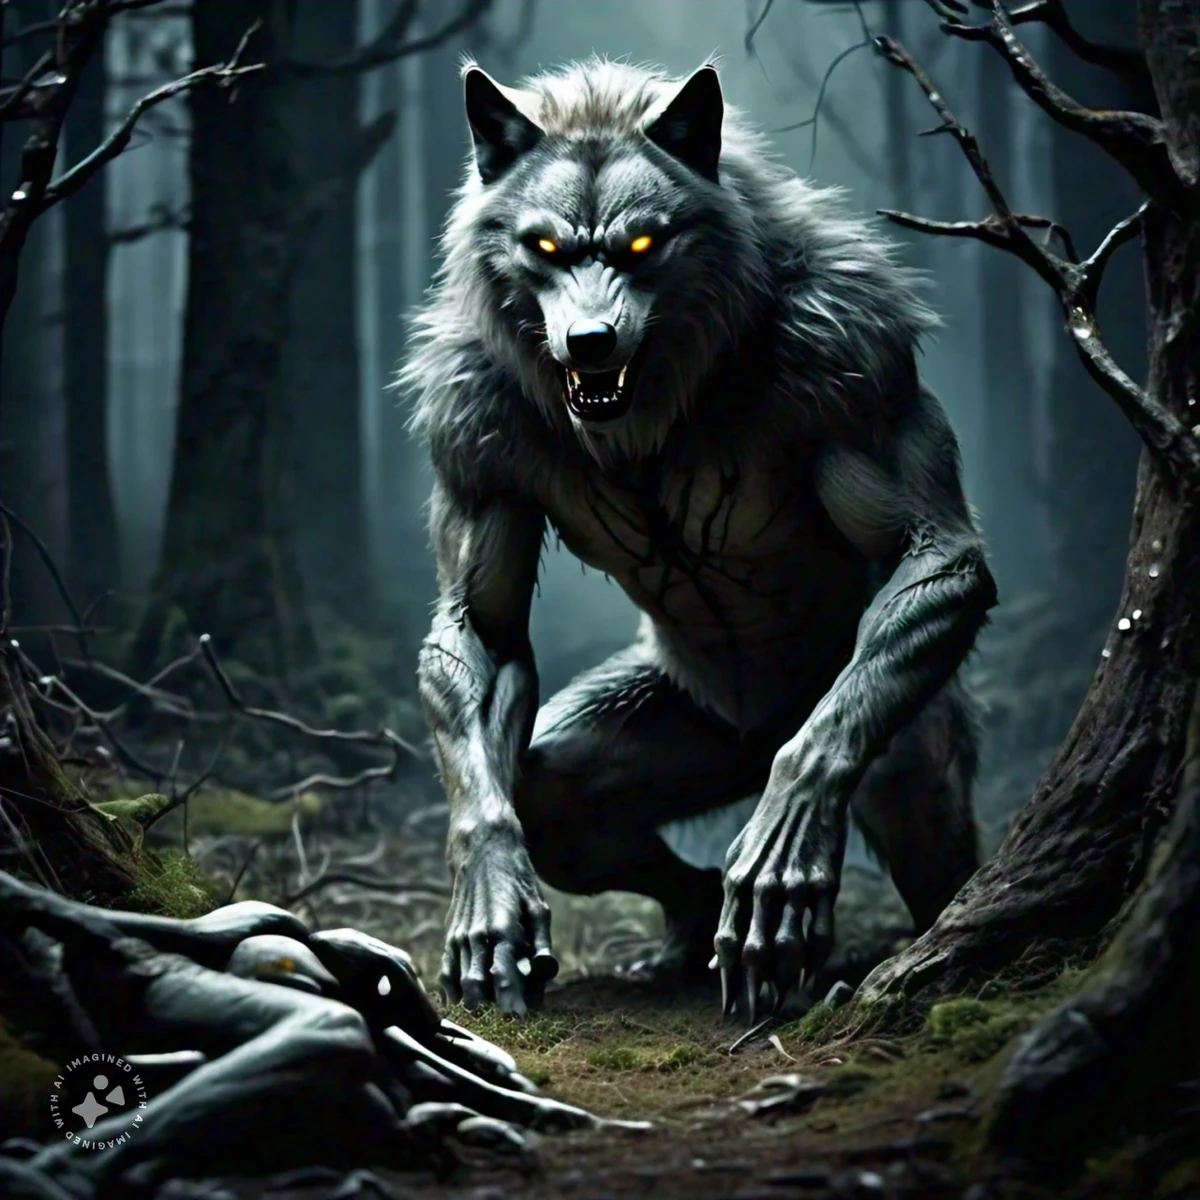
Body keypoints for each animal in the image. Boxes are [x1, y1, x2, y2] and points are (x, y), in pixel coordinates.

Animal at [402, 57, 996, 1019]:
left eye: (644, 246)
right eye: (544, 249)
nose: (590, 342)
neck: (660, 402)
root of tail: (762, 726)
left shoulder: (852, 354)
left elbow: (937, 553)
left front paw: (785, 841)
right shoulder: (469, 432)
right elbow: (485, 635)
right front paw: (488, 891)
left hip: (897, 740)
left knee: (917, 816)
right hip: (685, 730)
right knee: (553, 792)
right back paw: (685, 934)